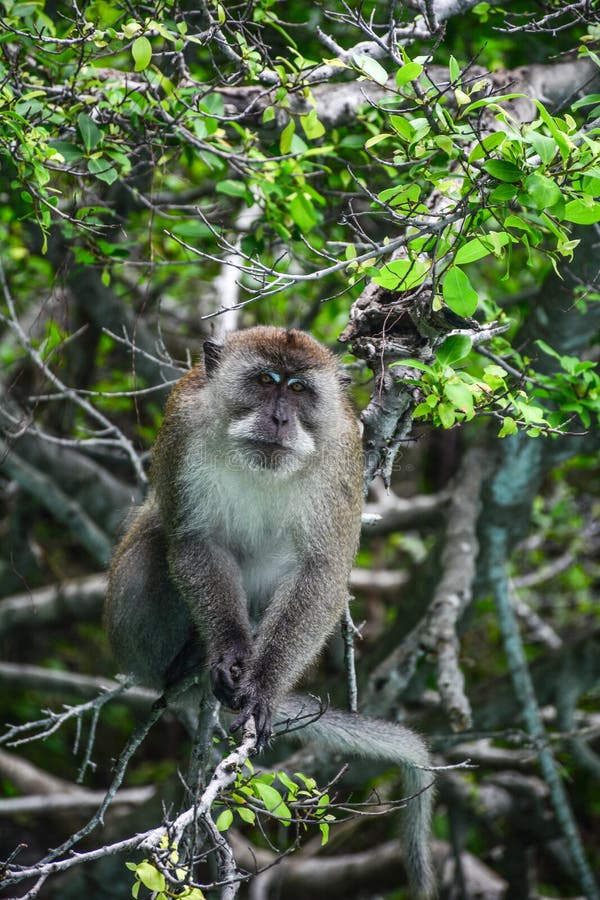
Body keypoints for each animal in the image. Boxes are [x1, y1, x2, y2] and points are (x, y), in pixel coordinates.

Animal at [105, 326, 435, 898]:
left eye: (298, 389)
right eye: (264, 381)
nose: (280, 418)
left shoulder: (340, 454)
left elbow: (322, 572)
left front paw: (262, 685)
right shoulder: (183, 425)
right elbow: (194, 541)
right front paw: (228, 653)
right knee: (154, 539)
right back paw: (184, 664)